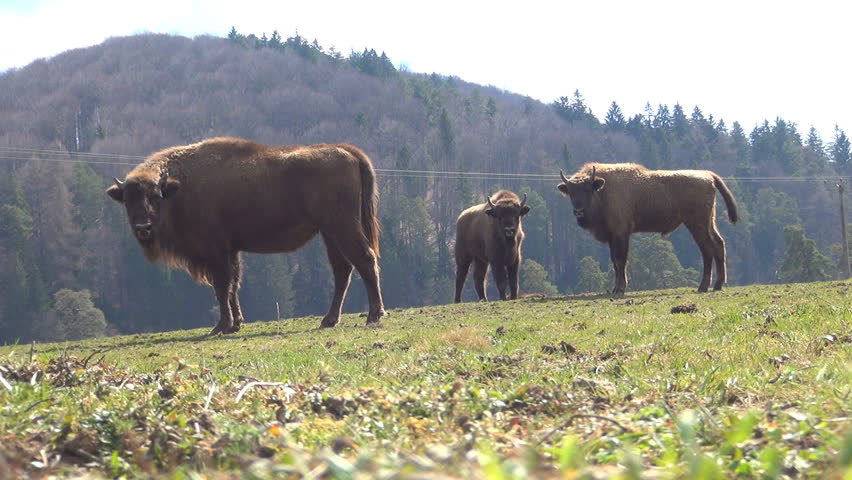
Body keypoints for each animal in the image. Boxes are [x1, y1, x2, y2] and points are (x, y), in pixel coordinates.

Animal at [107, 137, 385, 334]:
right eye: (127, 200)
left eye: (155, 196)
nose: (143, 228)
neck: (179, 187)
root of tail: (347, 151)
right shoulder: (231, 249)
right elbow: (233, 285)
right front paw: (236, 323)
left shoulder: (215, 250)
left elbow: (222, 285)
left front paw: (221, 327)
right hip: (330, 233)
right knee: (343, 270)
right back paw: (329, 320)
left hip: (342, 227)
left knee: (364, 260)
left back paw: (374, 315)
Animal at [557, 163, 738, 294]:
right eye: (571, 192)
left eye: (587, 190)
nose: (578, 210)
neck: (603, 190)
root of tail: (708, 176)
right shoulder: (611, 237)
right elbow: (615, 262)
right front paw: (616, 288)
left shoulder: (621, 233)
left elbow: (621, 260)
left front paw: (620, 289)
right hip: (709, 222)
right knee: (719, 244)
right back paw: (718, 285)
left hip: (696, 225)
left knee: (707, 249)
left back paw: (703, 287)